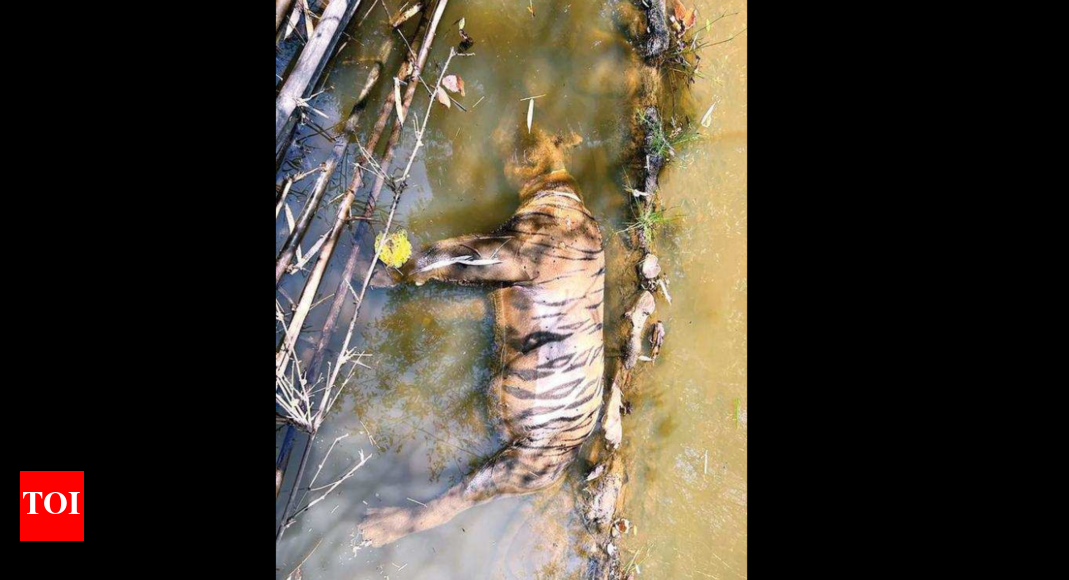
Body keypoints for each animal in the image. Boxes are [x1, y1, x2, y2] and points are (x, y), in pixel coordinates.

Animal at [357, 127, 606, 547]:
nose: (505, 129)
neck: (555, 186)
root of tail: (568, 463)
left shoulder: (509, 253)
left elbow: (439, 253)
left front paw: (382, 269)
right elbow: (450, 267)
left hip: (514, 463)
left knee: (450, 502)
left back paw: (380, 526)